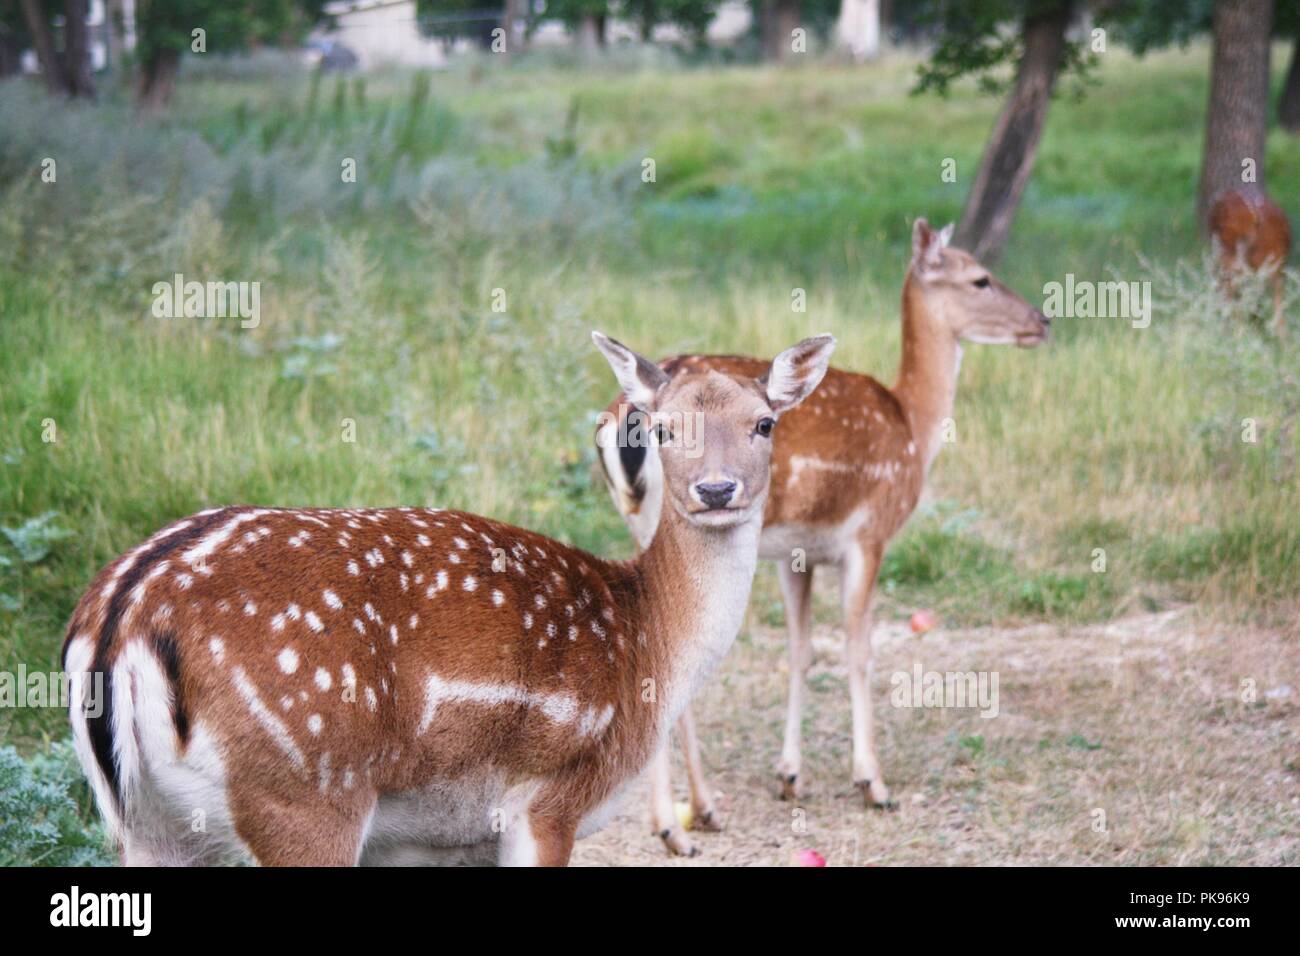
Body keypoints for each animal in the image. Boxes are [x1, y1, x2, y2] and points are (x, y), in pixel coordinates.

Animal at [61, 331, 835, 867]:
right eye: (664, 427)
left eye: (765, 422)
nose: (717, 489)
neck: (651, 647)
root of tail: (121, 622)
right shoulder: (549, 797)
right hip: (304, 790)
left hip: (145, 824)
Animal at [596, 219, 1049, 856]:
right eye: (980, 277)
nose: (1042, 319)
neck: (913, 427)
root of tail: (621, 417)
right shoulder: (869, 532)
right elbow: (859, 649)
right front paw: (873, 783)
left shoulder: (797, 553)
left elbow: (801, 649)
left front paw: (790, 776)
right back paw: (673, 823)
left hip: (639, 522)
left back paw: (701, 809)